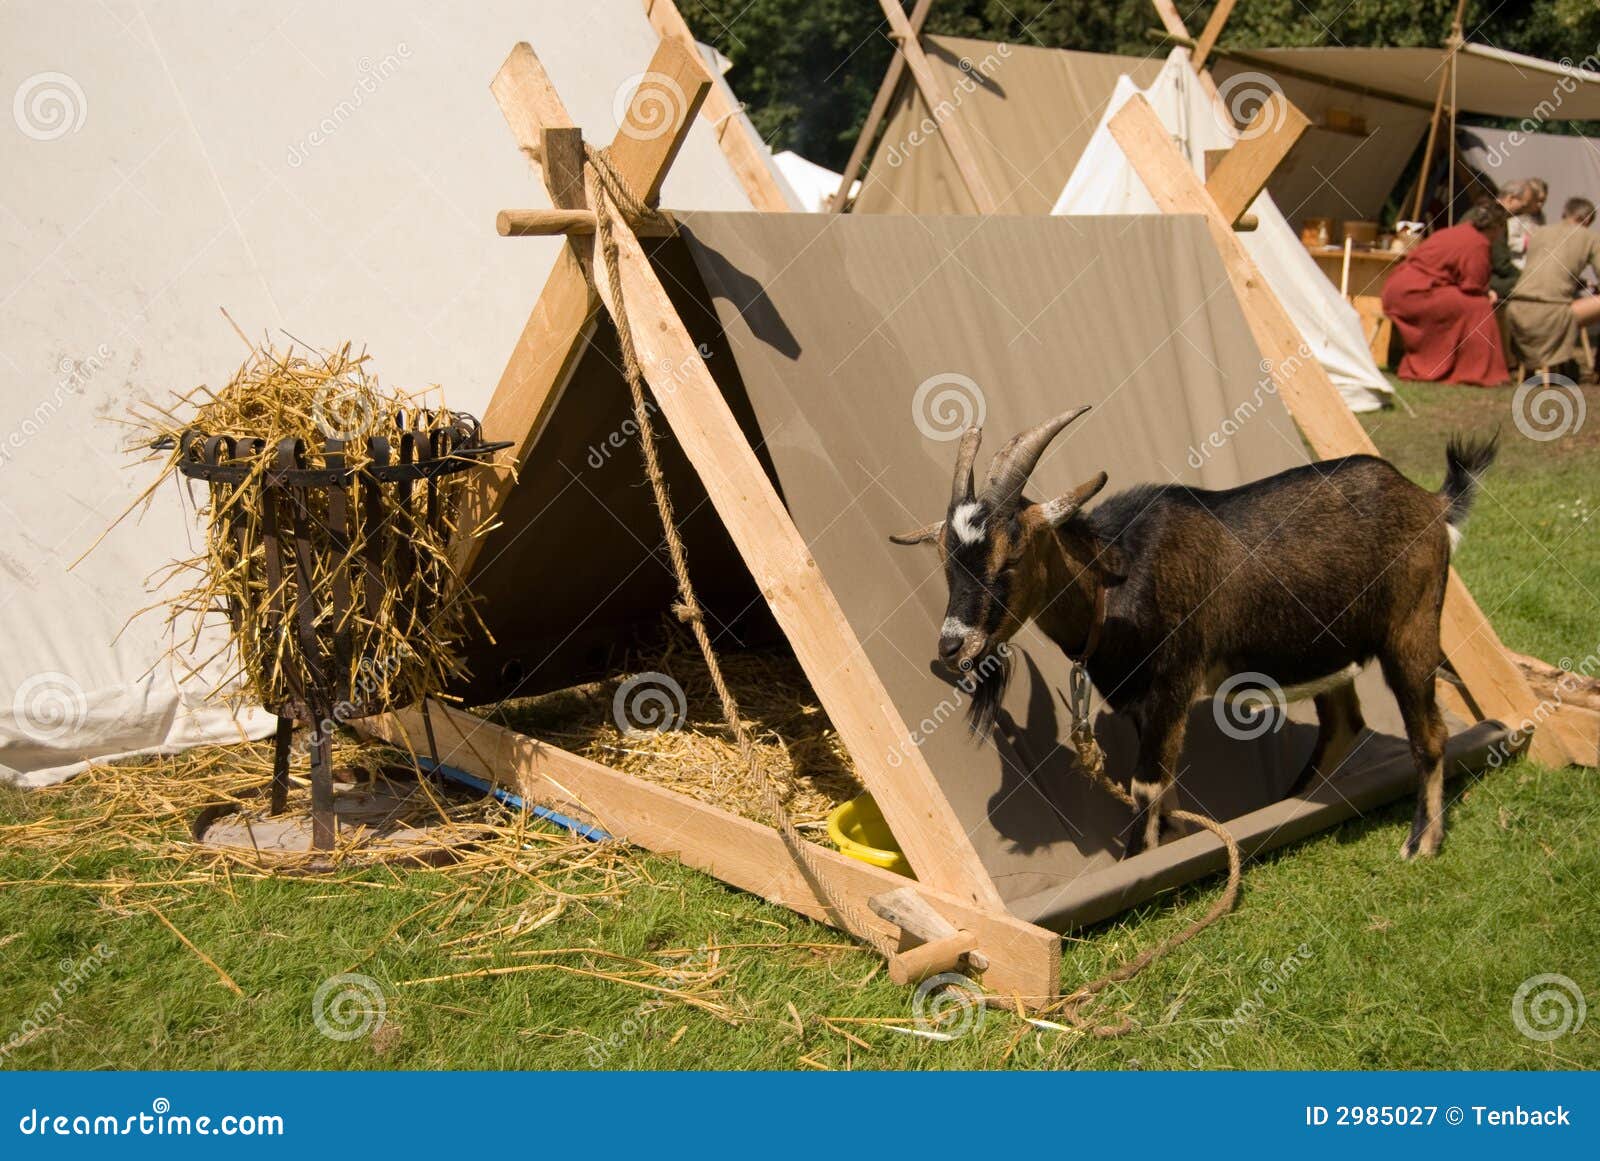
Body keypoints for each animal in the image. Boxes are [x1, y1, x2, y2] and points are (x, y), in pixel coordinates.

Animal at [891, 406, 1497, 861]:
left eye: (1011, 554)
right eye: (946, 558)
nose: (952, 646)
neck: (1116, 579)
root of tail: (1431, 501)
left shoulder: (1172, 683)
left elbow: (1146, 786)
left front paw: (1141, 861)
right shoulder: (1144, 702)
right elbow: (1166, 788)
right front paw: (1177, 843)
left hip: (1412, 627)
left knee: (1429, 735)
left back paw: (1422, 841)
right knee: (1344, 725)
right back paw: (1295, 804)